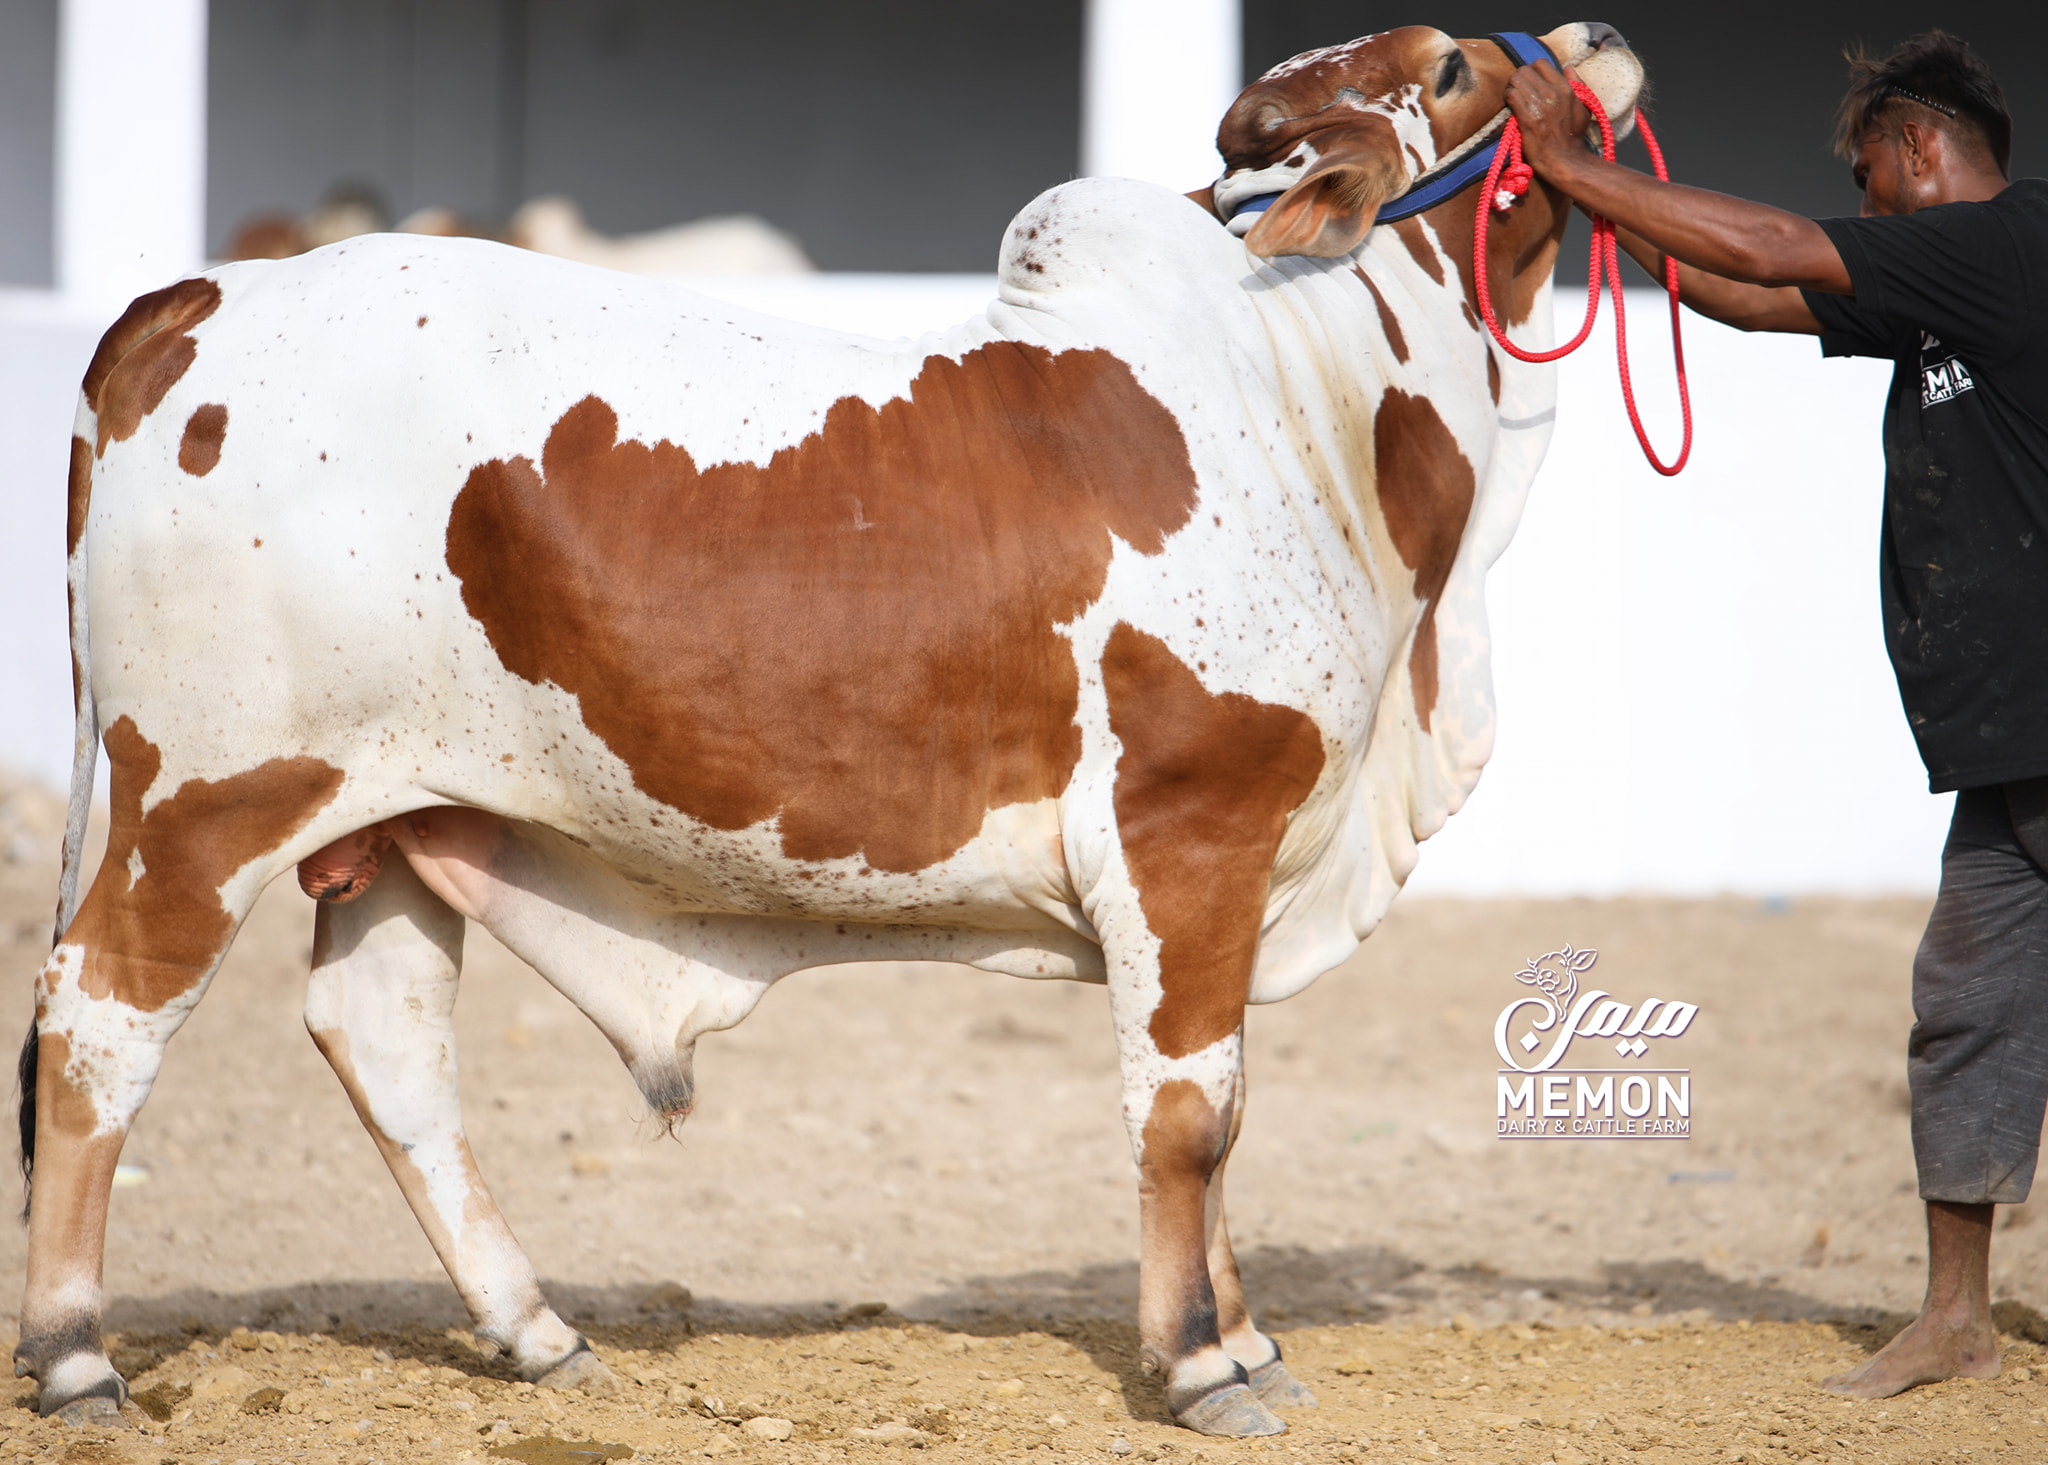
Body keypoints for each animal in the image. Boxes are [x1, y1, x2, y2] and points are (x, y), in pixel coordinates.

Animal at [17, 22, 1643, 1437]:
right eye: (1452, 66)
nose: (1598, 35)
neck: (1306, 397)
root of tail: (188, 303)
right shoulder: (1192, 837)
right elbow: (1190, 1112)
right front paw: (1201, 1365)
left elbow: (1223, 1108)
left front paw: (1248, 1342)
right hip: (204, 804)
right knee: (94, 1024)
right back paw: (77, 1357)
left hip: (393, 818)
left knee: (385, 1047)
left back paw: (539, 1332)